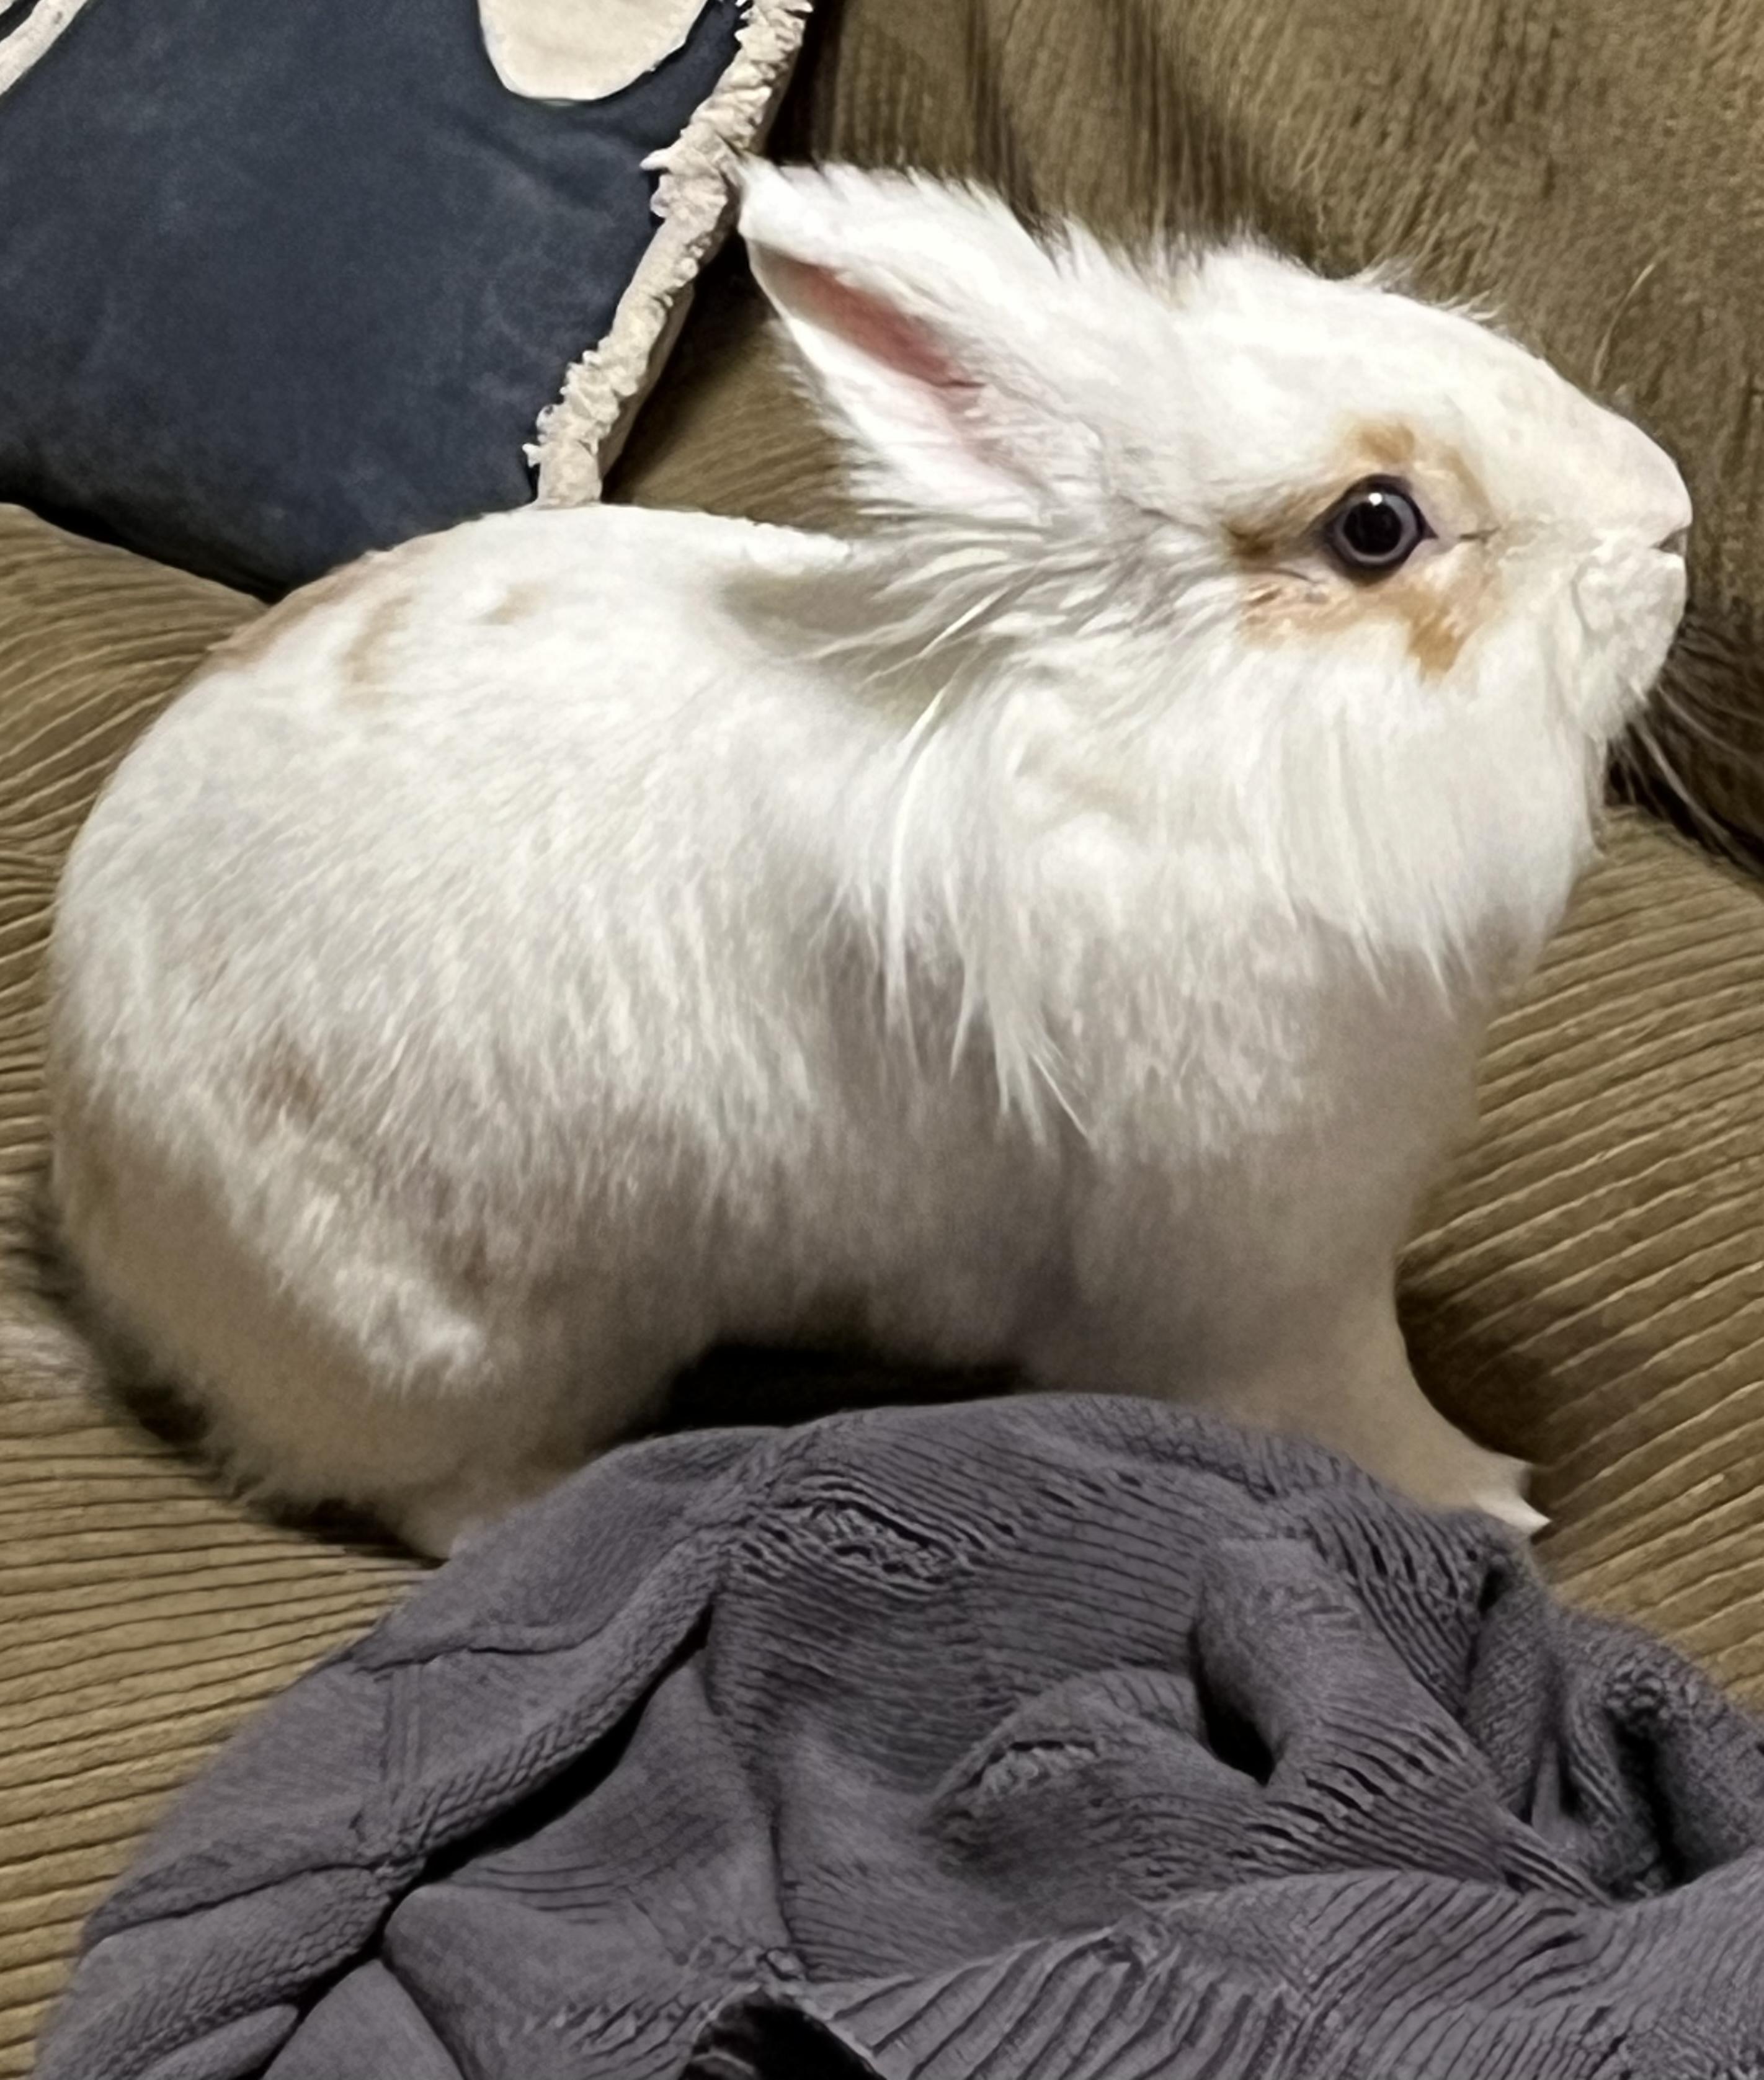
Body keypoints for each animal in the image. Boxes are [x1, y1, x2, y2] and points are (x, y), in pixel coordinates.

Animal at [46, 163, 1691, 1558]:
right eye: (1374, 527)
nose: (1672, 515)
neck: (1165, 748)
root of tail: (107, 1216)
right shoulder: (1264, 1269)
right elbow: (1349, 1403)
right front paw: (1481, 1497)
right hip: (452, 1342)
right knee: (432, 1496)